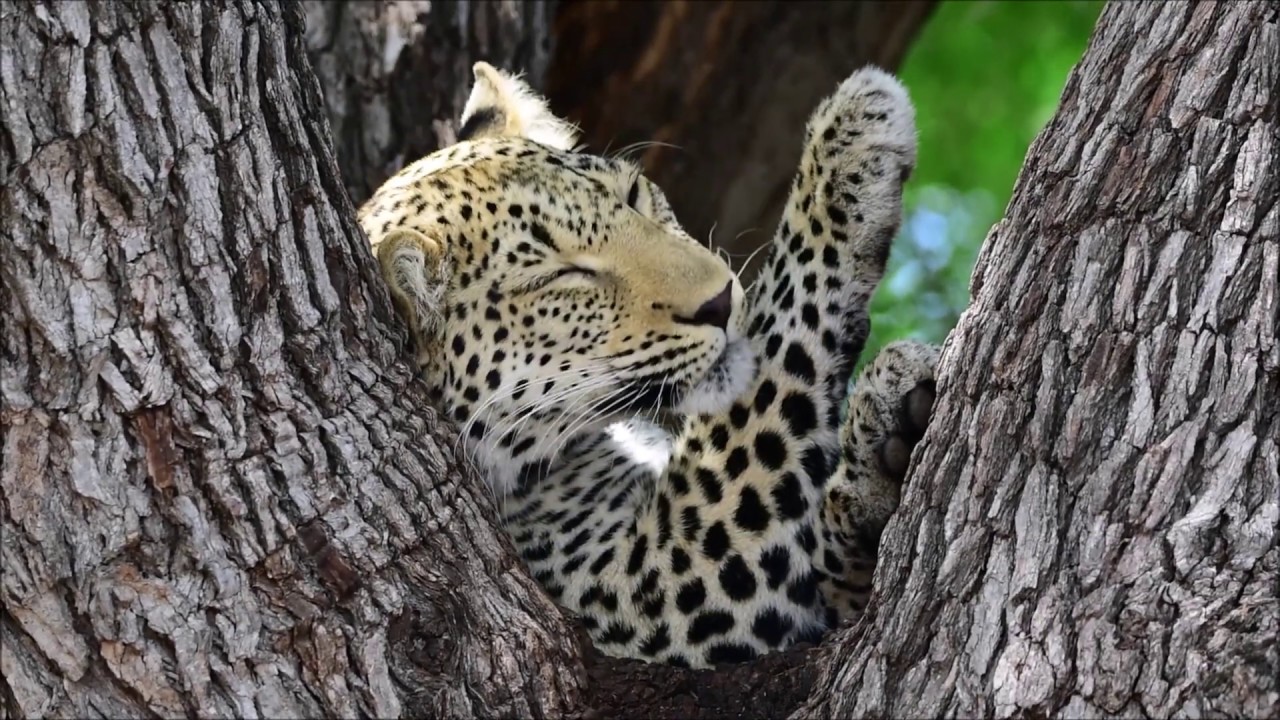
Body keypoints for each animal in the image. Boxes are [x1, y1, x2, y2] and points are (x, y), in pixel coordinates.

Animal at [359, 62, 940, 669]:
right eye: (562, 277)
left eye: (633, 195)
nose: (721, 302)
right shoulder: (666, 579)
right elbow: (785, 325)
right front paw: (857, 124)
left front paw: (890, 420)